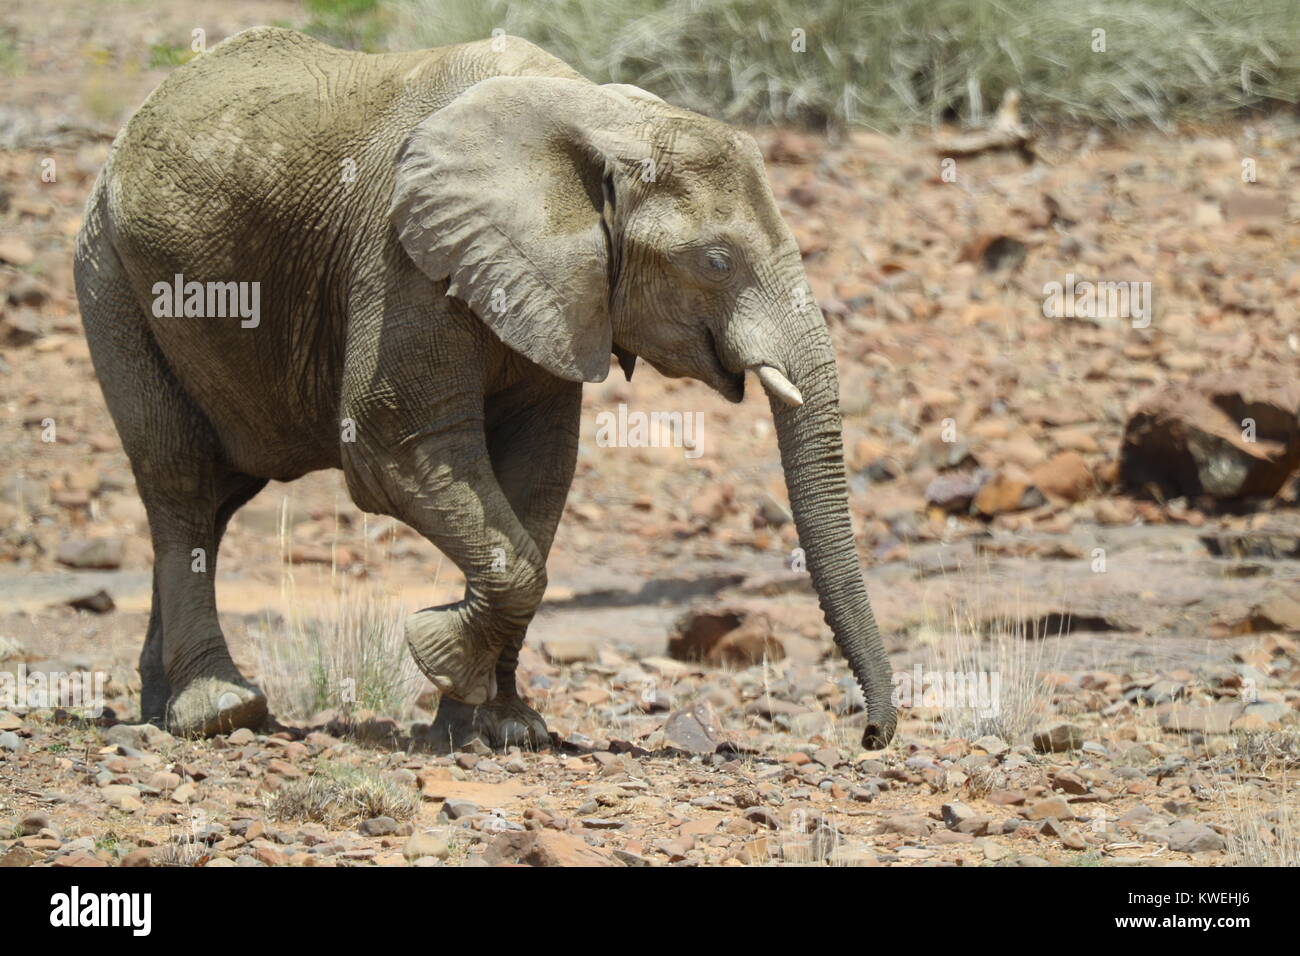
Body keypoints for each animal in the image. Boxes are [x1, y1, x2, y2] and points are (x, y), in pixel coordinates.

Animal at [73, 26, 897, 751]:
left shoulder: (555, 293)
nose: (870, 734)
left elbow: (540, 473)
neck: (602, 117)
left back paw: (163, 707)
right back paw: (220, 714)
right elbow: (395, 444)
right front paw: (434, 649)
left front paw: (502, 730)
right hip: (109, 274)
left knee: (215, 501)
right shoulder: (401, 255)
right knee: (181, 483)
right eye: (718, 262)